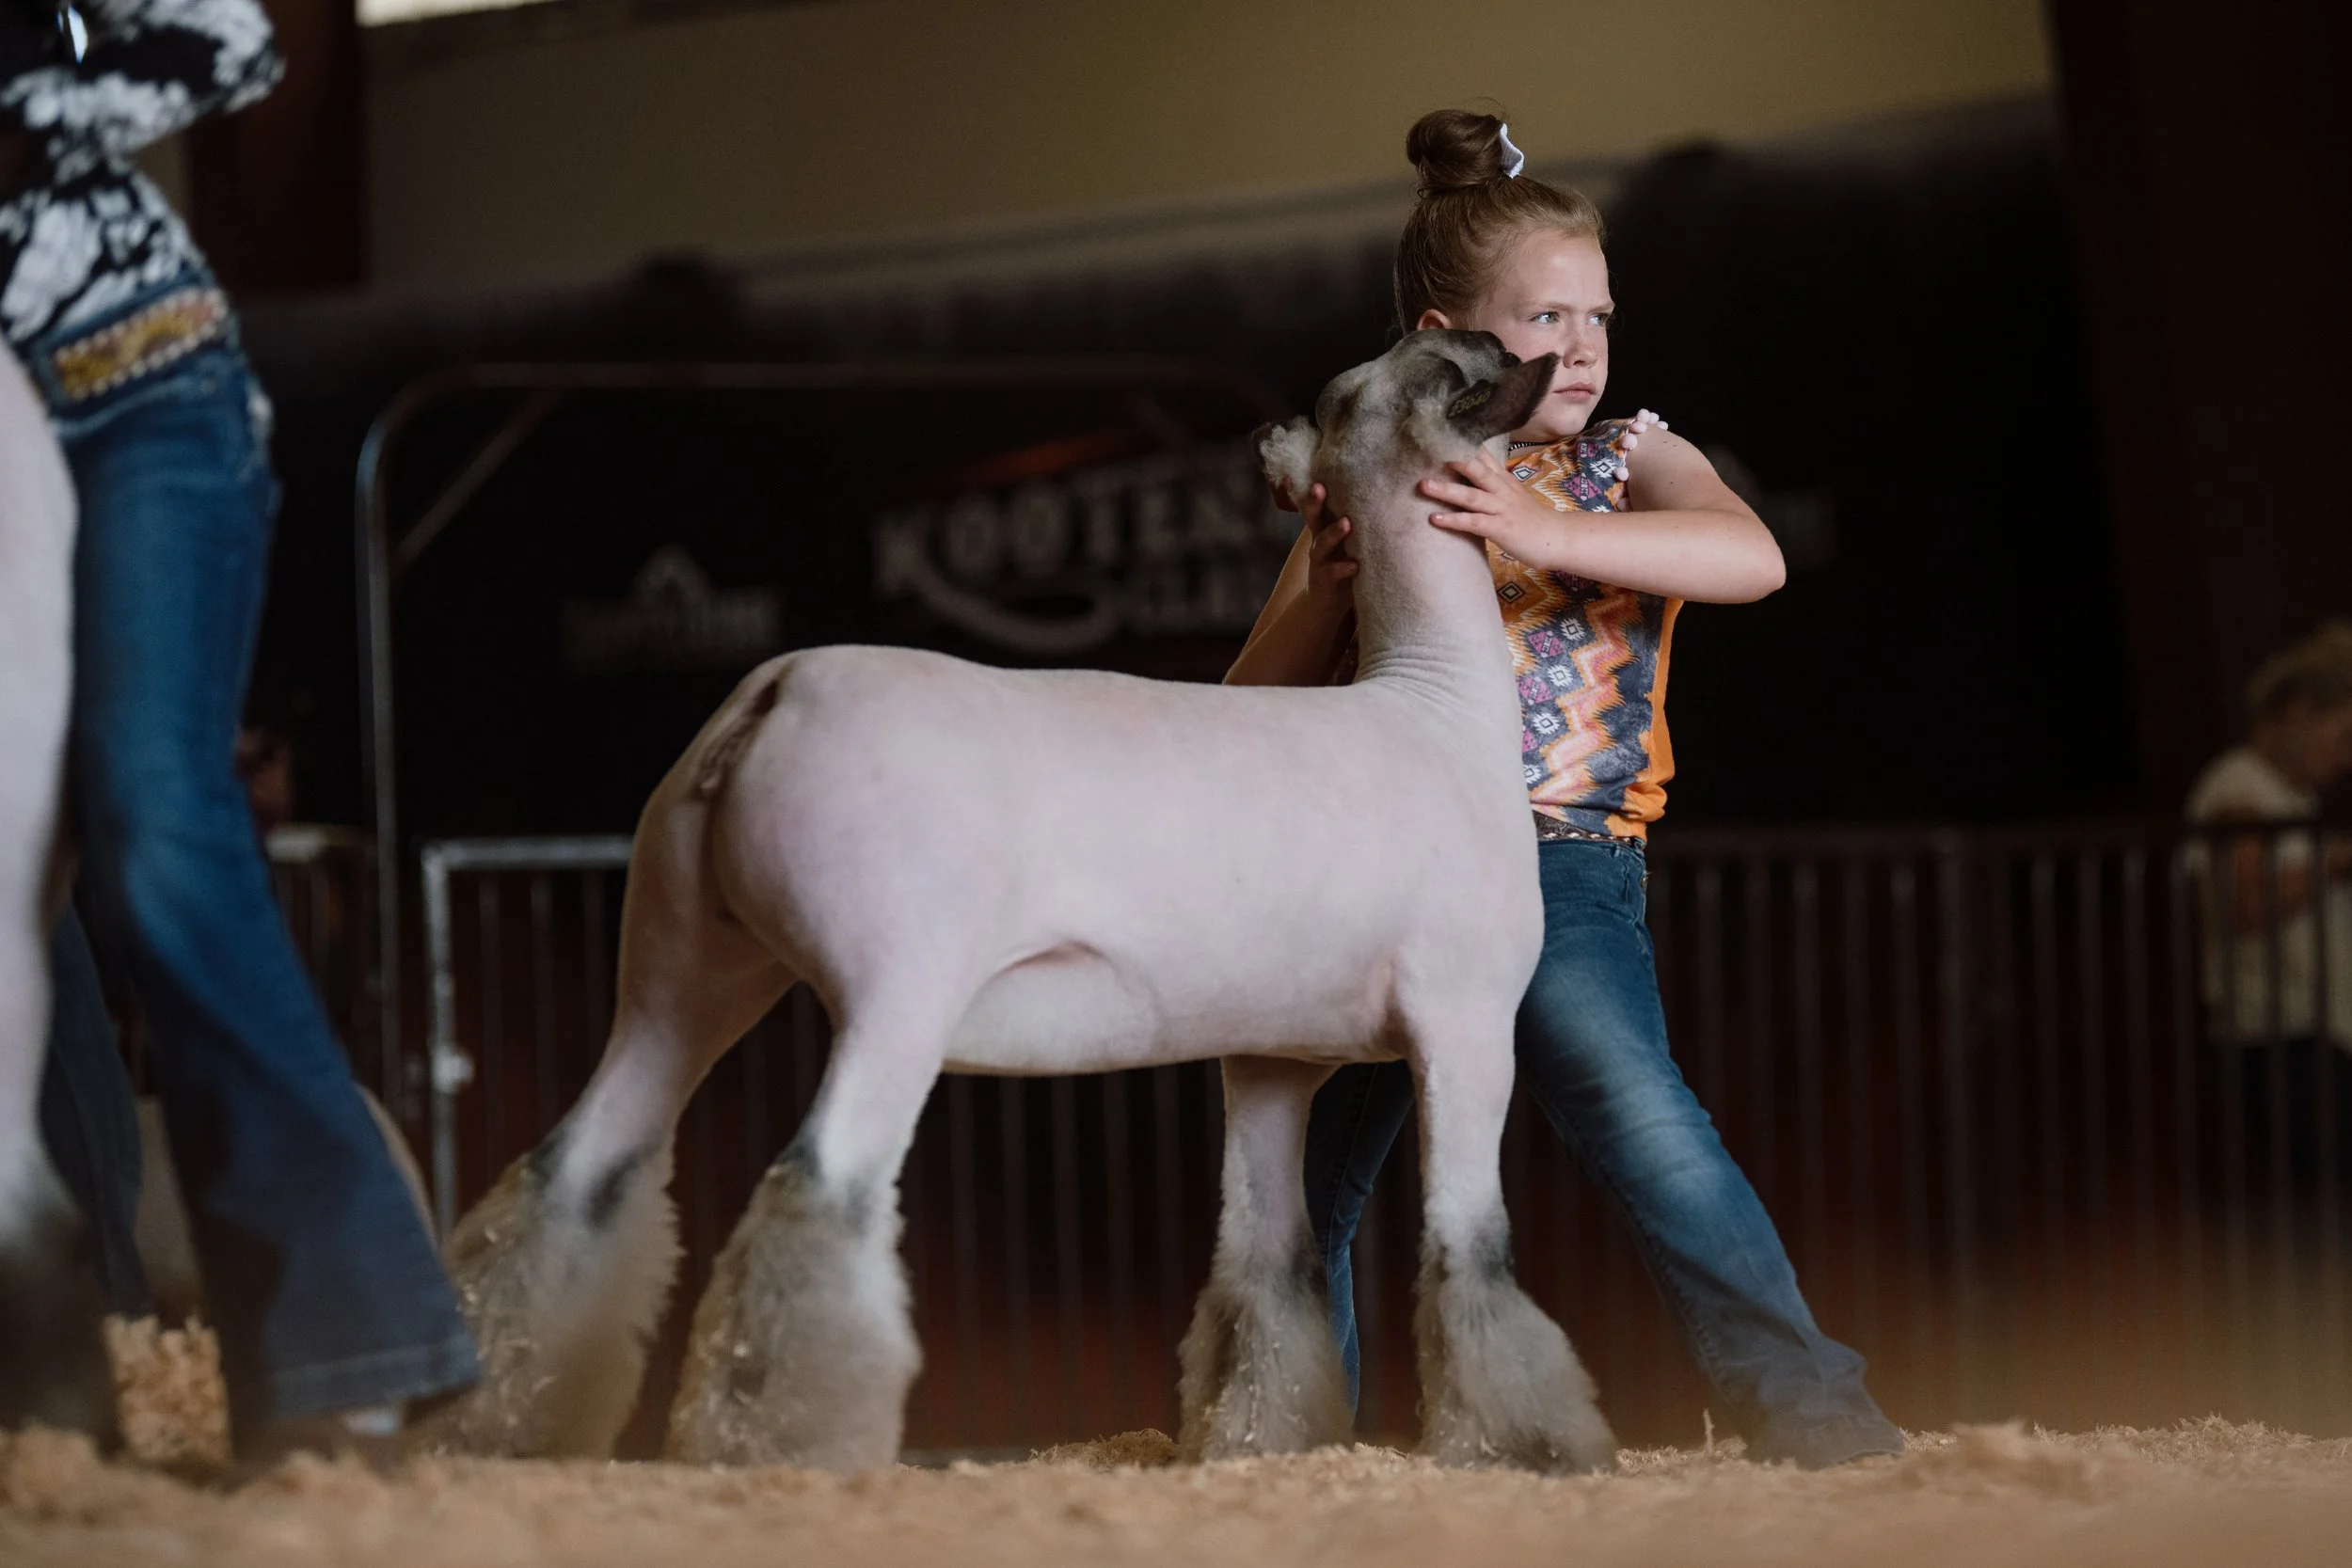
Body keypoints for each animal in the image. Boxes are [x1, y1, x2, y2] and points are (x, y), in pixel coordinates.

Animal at [419, 329, 1615, 1476]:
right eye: (1433, 366)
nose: (1527, 362)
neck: (1433, 699)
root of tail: (771, 689)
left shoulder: (1270, 1056)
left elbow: (1264, 1268)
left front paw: (1251, 1444)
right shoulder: (1467, 1025)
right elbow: (1473, 1248)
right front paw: (1540, 1447)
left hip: (680, 968)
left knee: (573, 1173)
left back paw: (493, 1423)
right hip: (896, 987)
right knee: (816, 1188)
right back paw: (773, 1448)